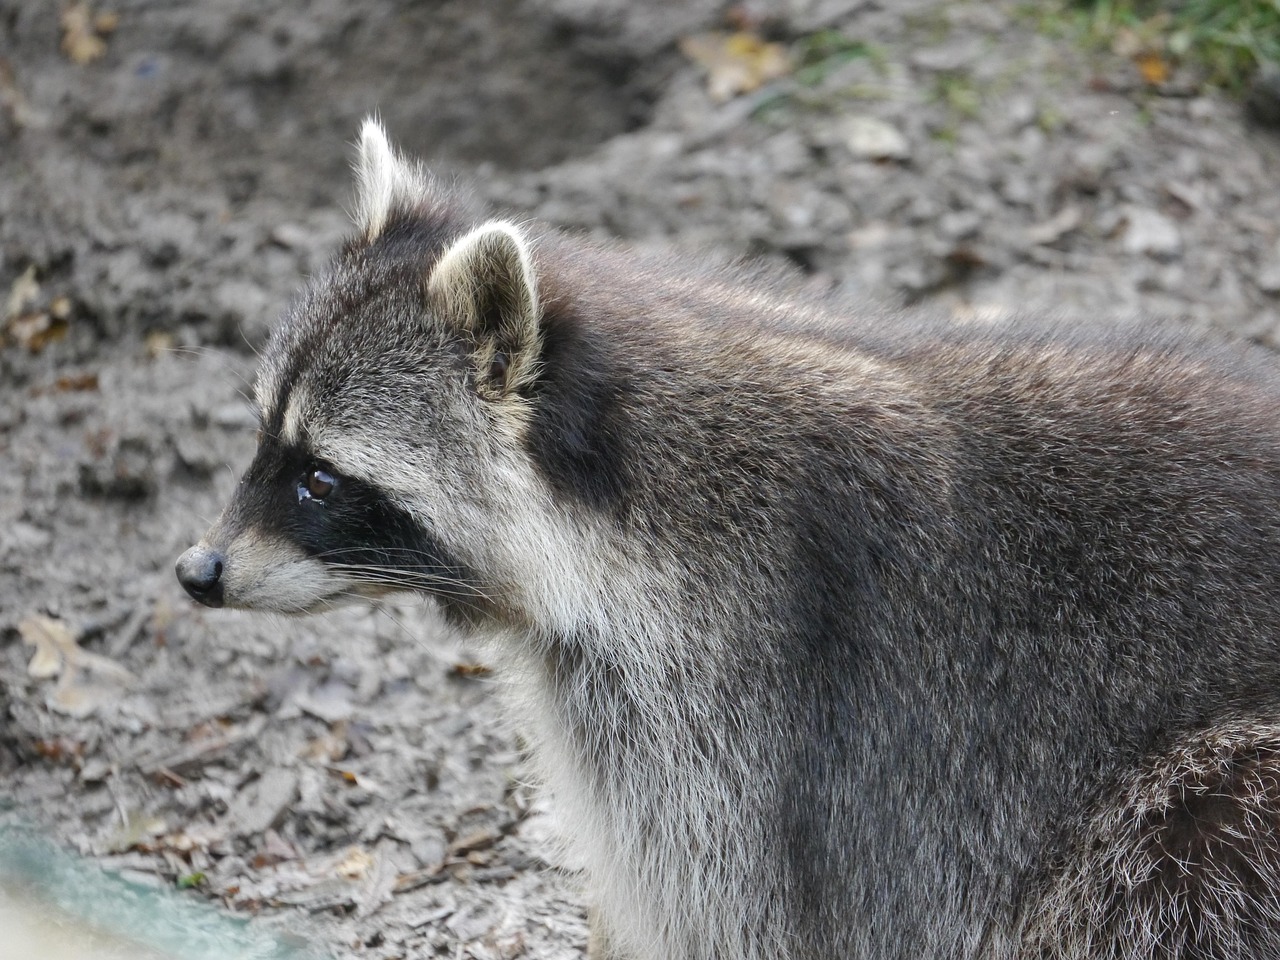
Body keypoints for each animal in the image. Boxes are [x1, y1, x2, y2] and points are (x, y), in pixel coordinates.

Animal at [177, 120, 1280, 960]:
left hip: (1210, 815)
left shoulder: (749, 718)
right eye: (264, 439)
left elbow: (734, 913)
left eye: (321, 478)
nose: (196, 571)